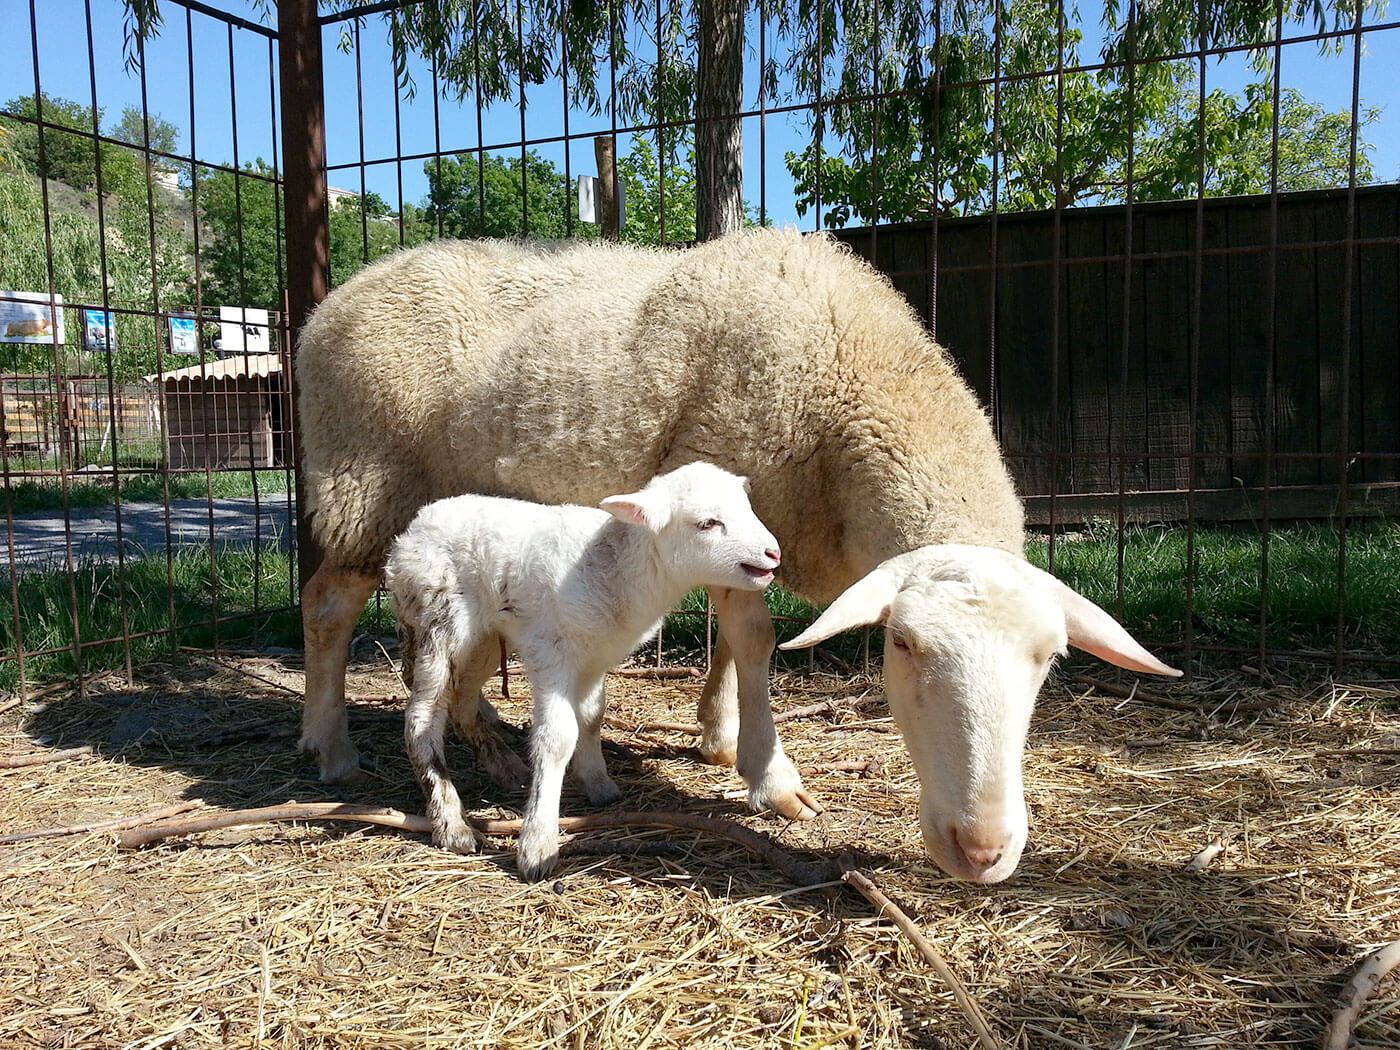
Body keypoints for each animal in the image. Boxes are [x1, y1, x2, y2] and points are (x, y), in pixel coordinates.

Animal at [384, 462, 782, 880]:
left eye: (747, 507)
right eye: (707, 523)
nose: (773, 553)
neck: (620, 569)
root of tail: (414, 526)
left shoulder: (595, 657)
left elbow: (591, 718)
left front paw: (598, 784)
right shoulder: (551, 651)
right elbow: (557, 738)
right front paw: (538, 844)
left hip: (485, 637)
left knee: (463, 702)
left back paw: (507, 769)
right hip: (438, 619)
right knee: (422, 718)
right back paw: (451, 823)